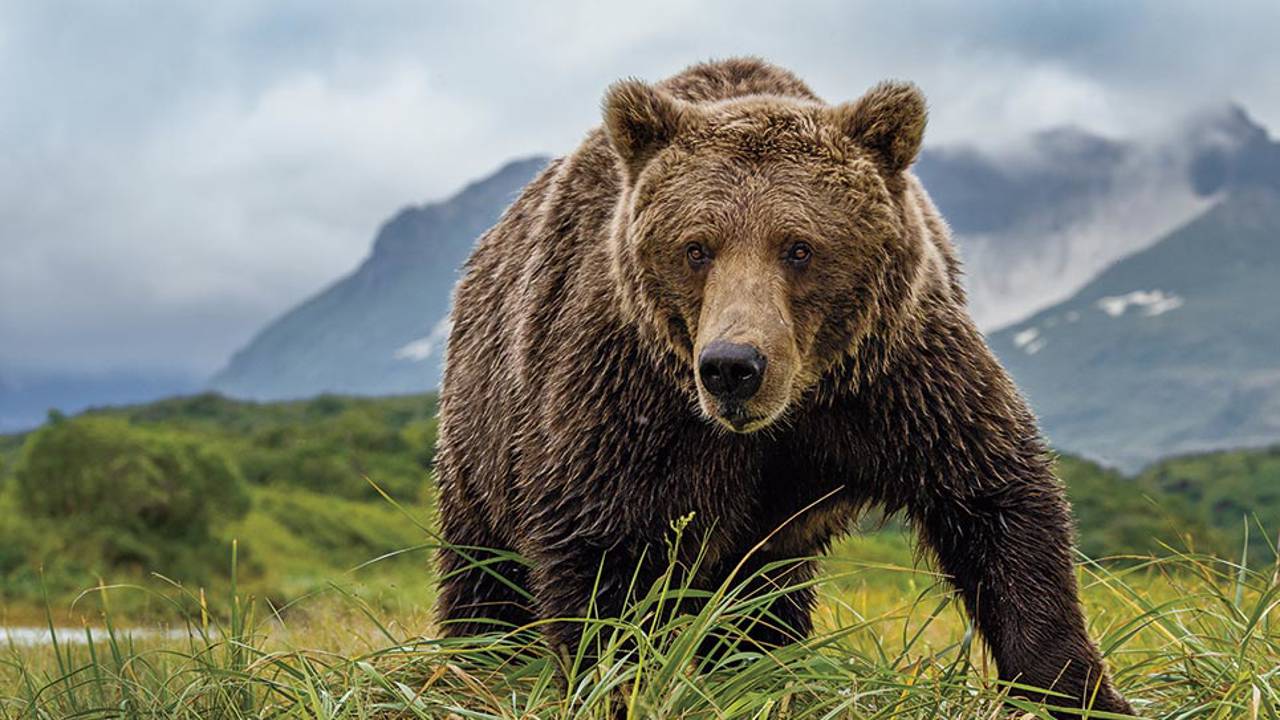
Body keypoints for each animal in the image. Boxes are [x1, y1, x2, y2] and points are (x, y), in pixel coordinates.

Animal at [437, 57, 1131, 712]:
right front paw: (621, 685)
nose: (732, 366)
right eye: (696, 248)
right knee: (483, 578)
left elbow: (994, 500)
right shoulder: (630, 394)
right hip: (483, 439)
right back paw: (476, 669)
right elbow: (607, 558)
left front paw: (1082, 691)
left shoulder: (894, 376)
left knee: (762, 604)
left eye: (799, 247)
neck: (792, 405)